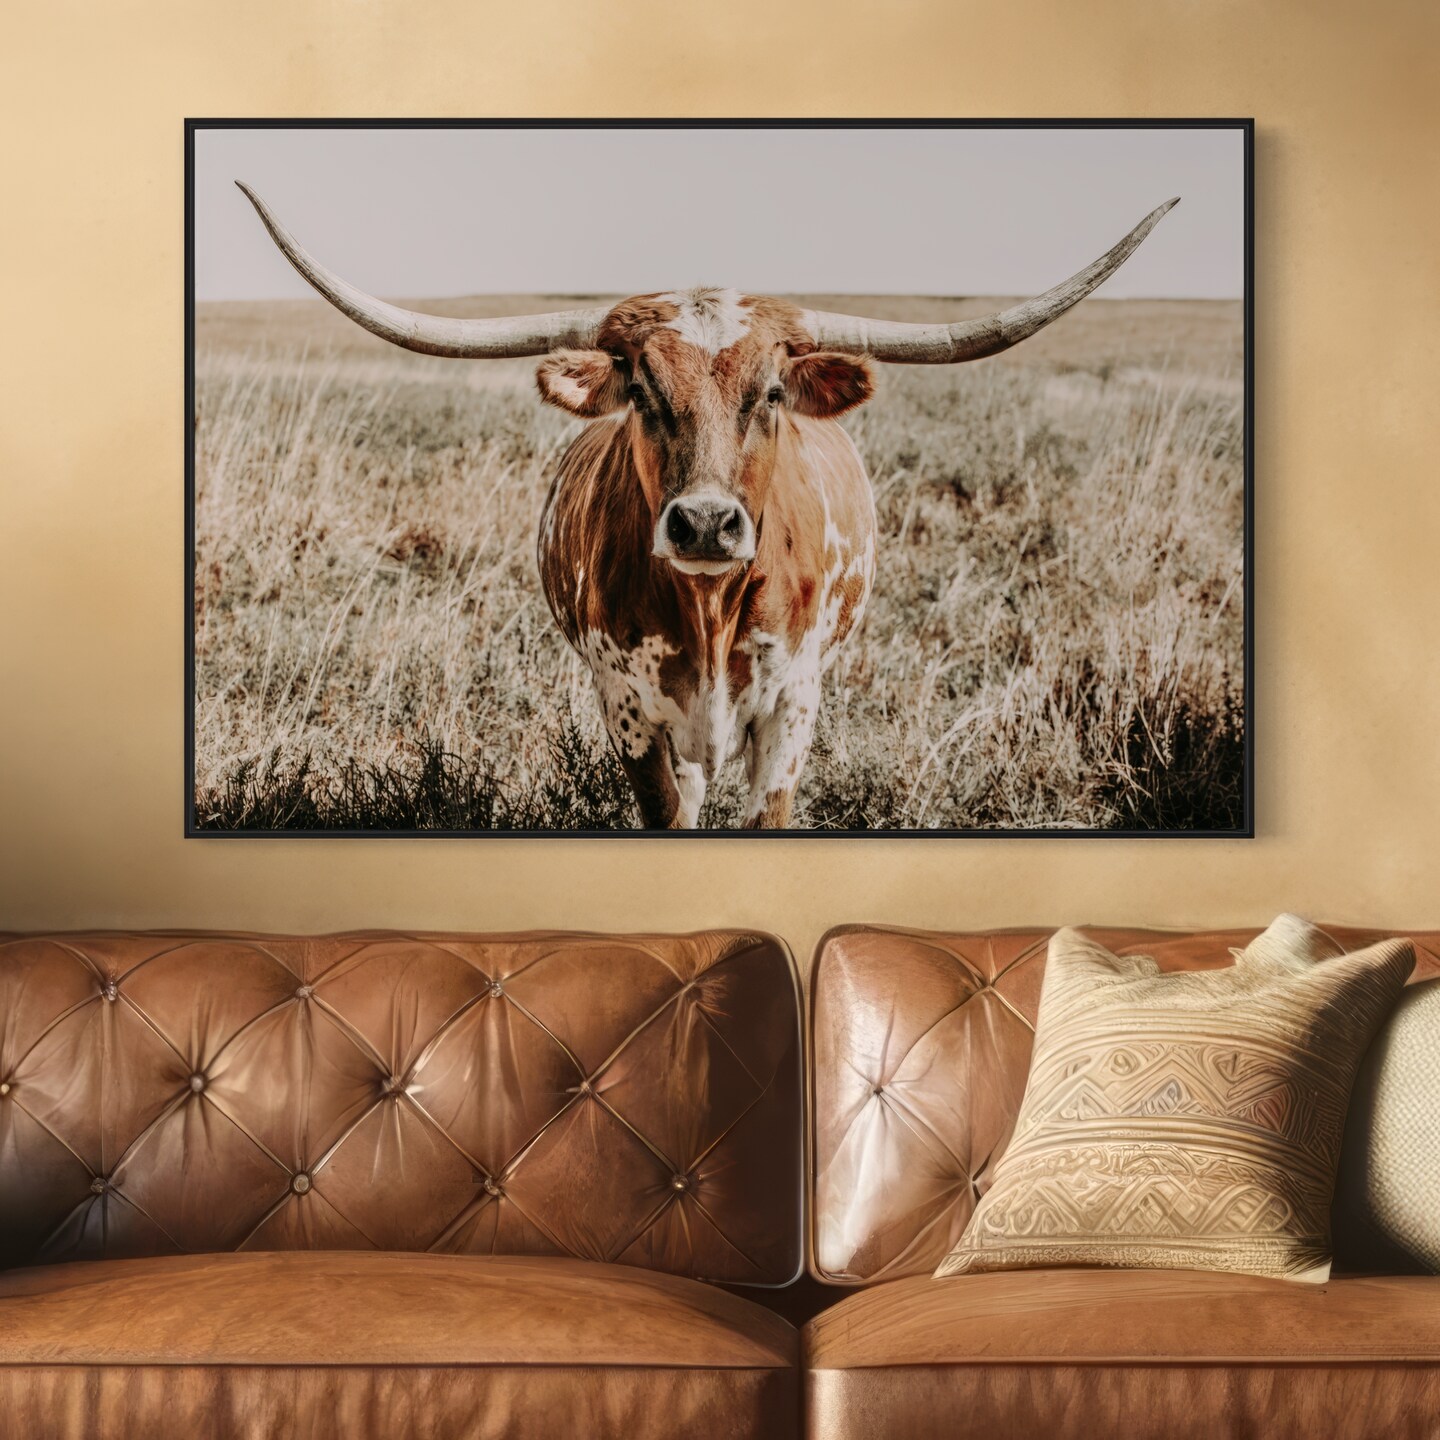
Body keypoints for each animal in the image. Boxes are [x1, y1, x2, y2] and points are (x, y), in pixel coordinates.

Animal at [239, 184, 1176, 829]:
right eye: (644, 392)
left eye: (771, 393)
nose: (704, 523)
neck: (709, 607)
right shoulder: (628, 709)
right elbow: (669, 814)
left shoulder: (793, 705)